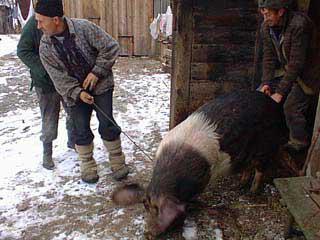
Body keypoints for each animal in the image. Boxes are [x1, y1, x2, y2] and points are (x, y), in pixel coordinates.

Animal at [112, 90, 288, 238]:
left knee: (260, 170)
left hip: (266, 148)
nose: (147, 233)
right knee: (248, 167)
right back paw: (240, 185)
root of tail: (276, 108)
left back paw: (251, 193)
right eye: (145, 206)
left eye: (156, 209)